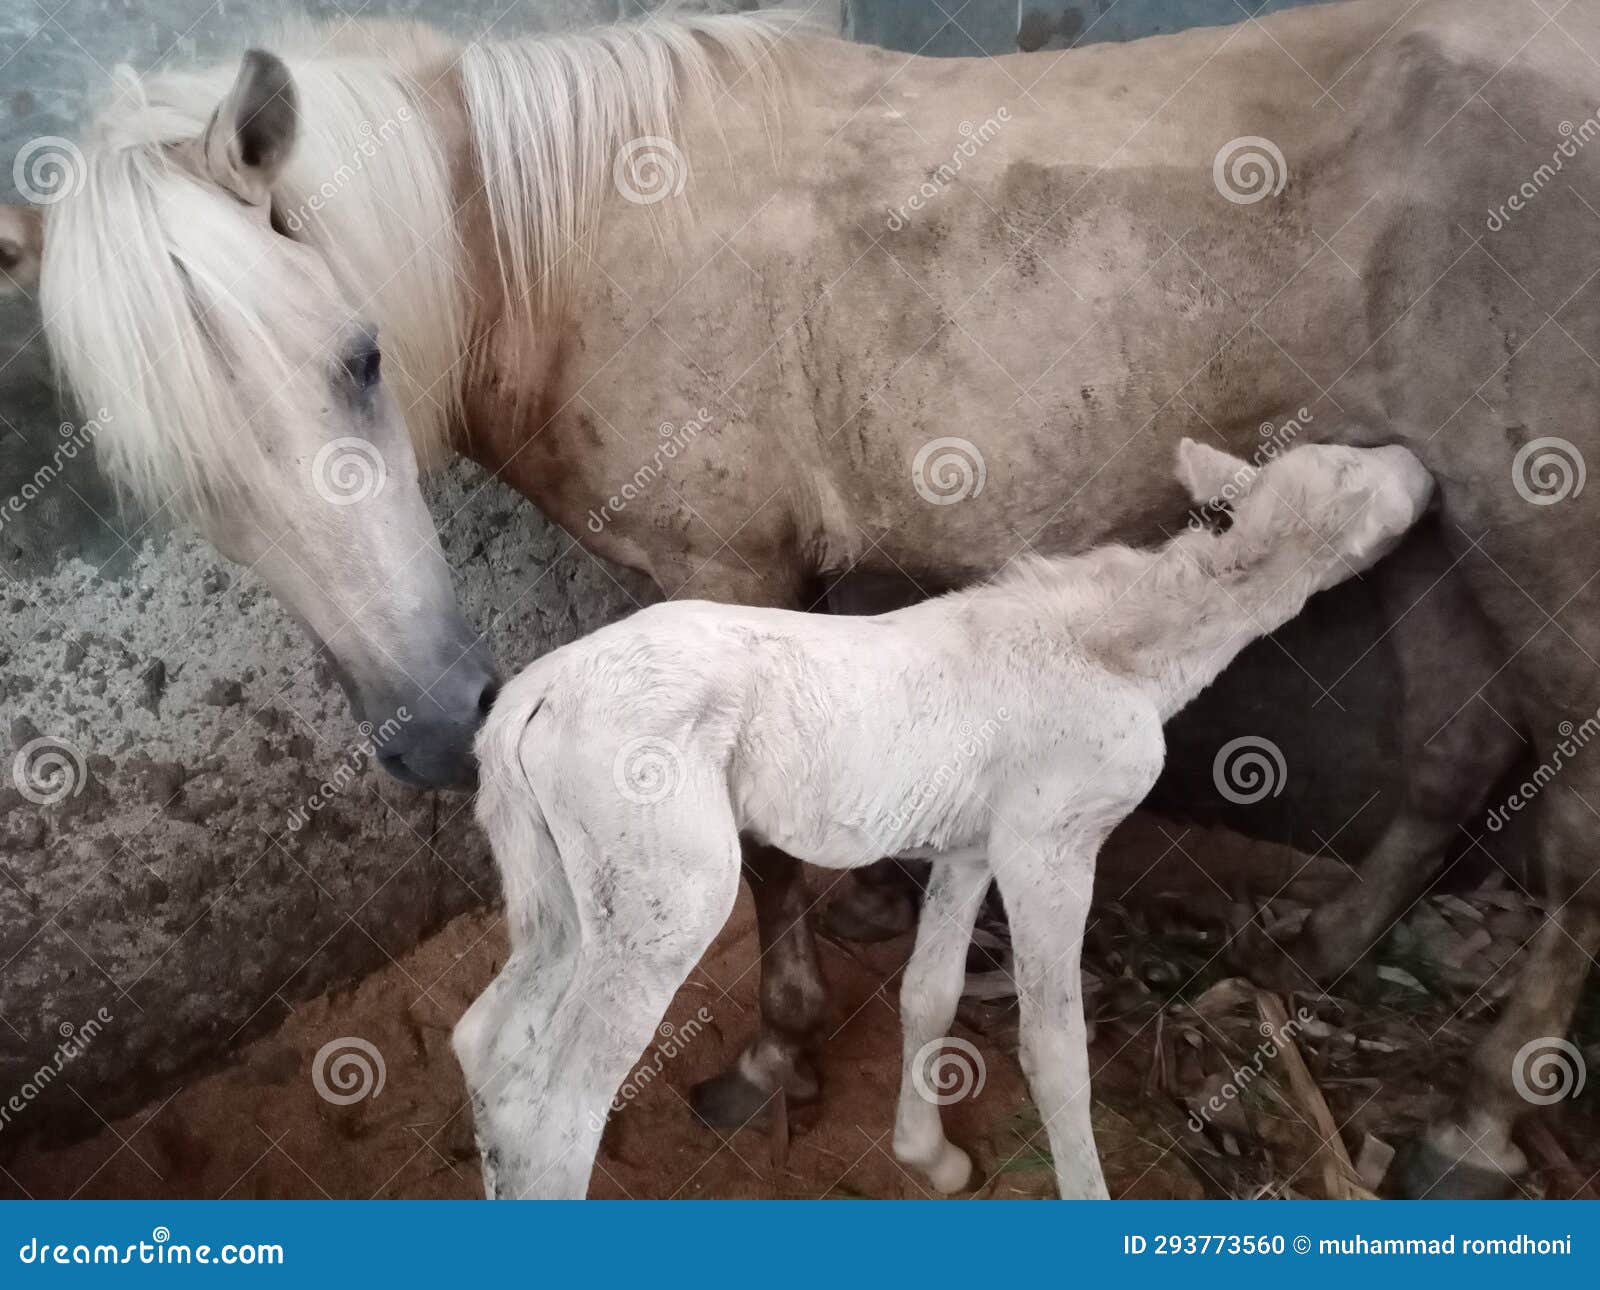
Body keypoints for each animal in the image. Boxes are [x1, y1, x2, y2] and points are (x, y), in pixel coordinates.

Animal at [459, 438, 1435, 1199]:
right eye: (1350, 470)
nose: (1421, 468)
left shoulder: (971, 848)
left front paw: (930, 1157)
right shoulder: (1052, 844)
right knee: (560, 1101)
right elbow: (1055, 1050)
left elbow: (928, 996)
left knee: (491, 1045)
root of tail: (527, 702)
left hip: (564, 888)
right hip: (667, 895)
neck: (1123, 652)